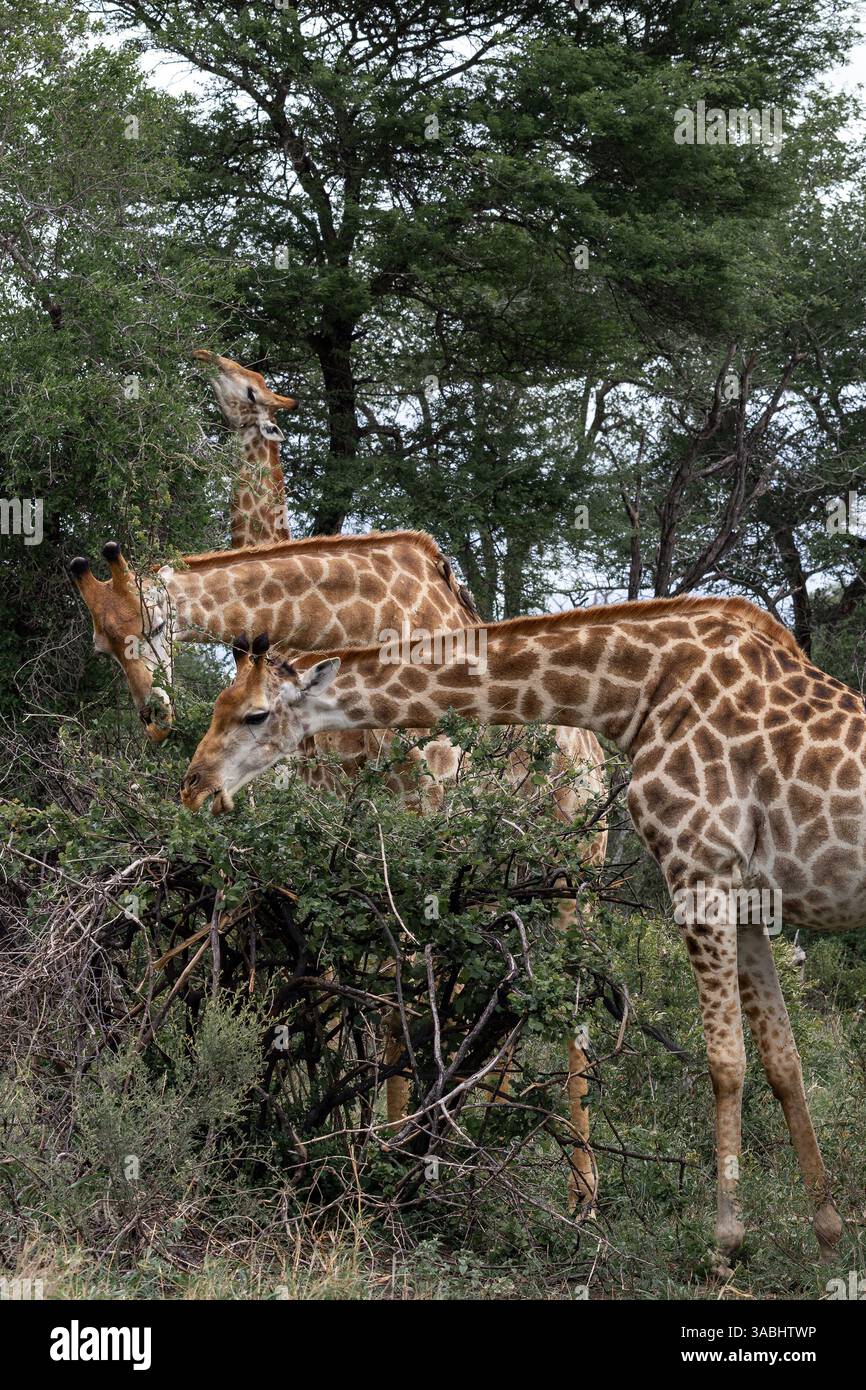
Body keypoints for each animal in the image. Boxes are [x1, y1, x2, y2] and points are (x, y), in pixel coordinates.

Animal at [70, 531, 606, 1200]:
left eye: (158, 622)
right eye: (101, 642)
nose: (155, 717)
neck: (360, 621)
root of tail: (598, 761)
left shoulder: (425, 824)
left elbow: (402, 996)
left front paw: (394, 1157)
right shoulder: (349, 827)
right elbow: (355, 986)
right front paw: (367, 1139)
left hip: (576, 879)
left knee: (569, 1005)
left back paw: (581, 1192)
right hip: (507, 886)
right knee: (506, 1001)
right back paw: (477, 1135)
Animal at [180, 594, 864, 1260]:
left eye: (255, 715)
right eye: (217, 704)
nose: (195, 789)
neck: (638, 694)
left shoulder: (700, 869)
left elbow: (726, 1060)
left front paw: (726, 1241)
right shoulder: (745, 894)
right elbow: (782, 1059)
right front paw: (827, 1228)